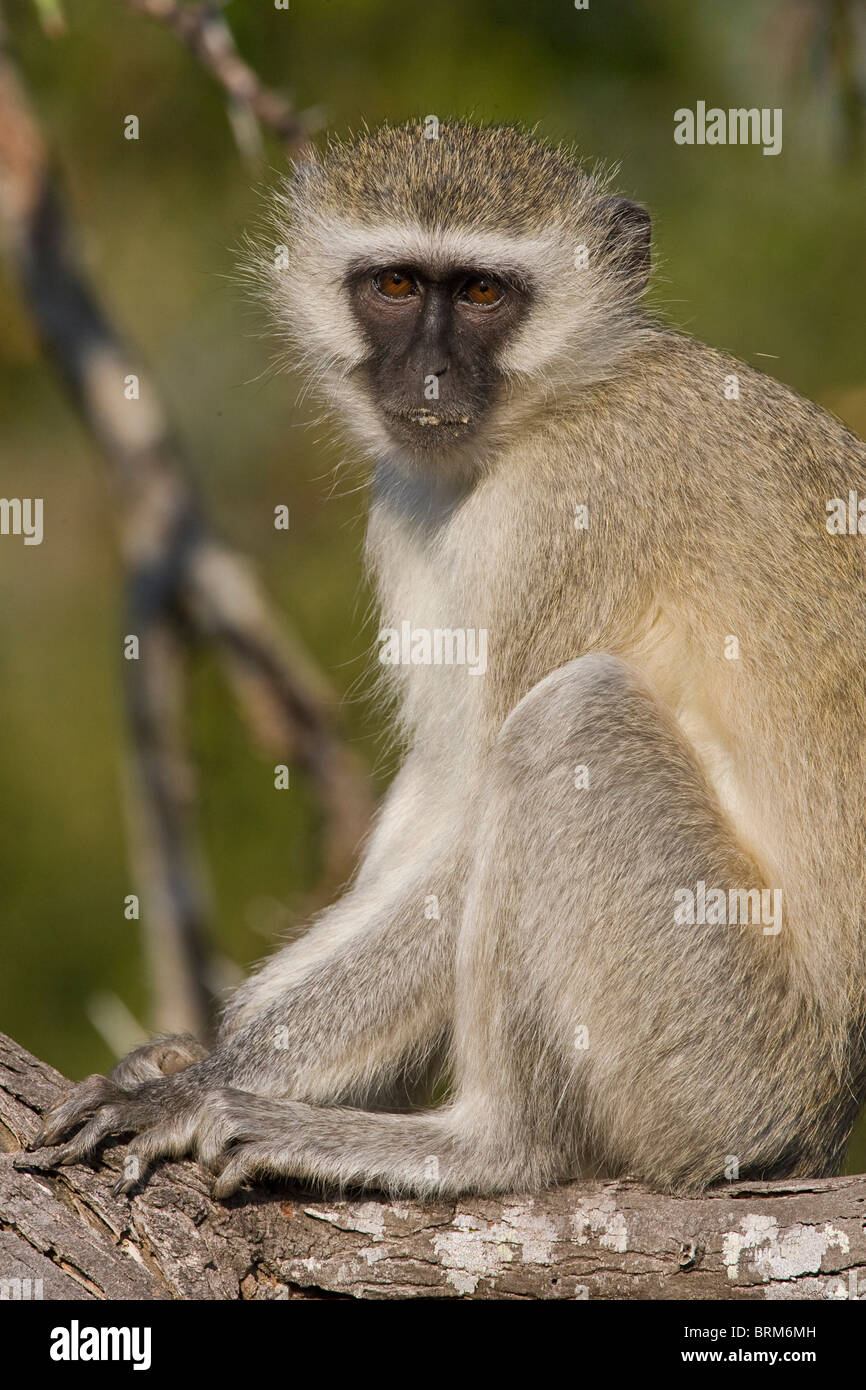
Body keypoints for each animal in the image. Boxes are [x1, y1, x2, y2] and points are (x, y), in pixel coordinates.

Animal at [33, 120, 866, 1201]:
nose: (428, 375)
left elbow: (470, 821)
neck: (550, 407)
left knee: (566, 723)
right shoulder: (407, 501)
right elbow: (437, 787)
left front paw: (205, 1081)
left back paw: (489, 1144)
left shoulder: (571, 506)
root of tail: (821, 1124)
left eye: (480, 294)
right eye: (394, 285)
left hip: (726, 1066)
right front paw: (206, 1049)